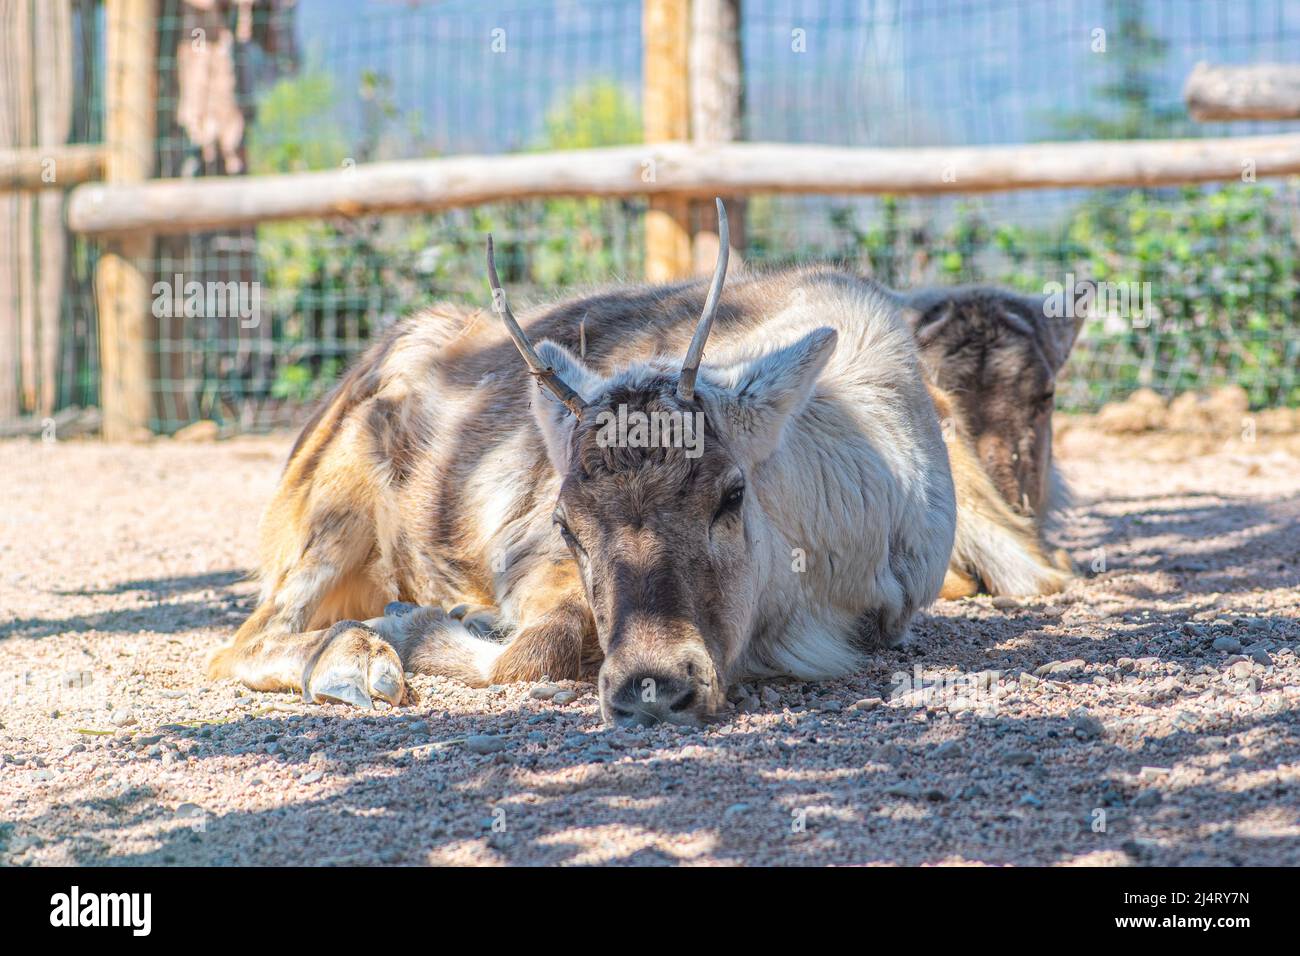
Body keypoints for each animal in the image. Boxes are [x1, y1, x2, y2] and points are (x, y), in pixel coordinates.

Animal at [207, 201, 959, 724]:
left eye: (731, 494)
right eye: (565, 522)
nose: (653, 690)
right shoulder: (529, 561)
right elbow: (537, 646)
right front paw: (412, 622)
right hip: (332, 506)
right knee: (241, 639)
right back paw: (352, 663)